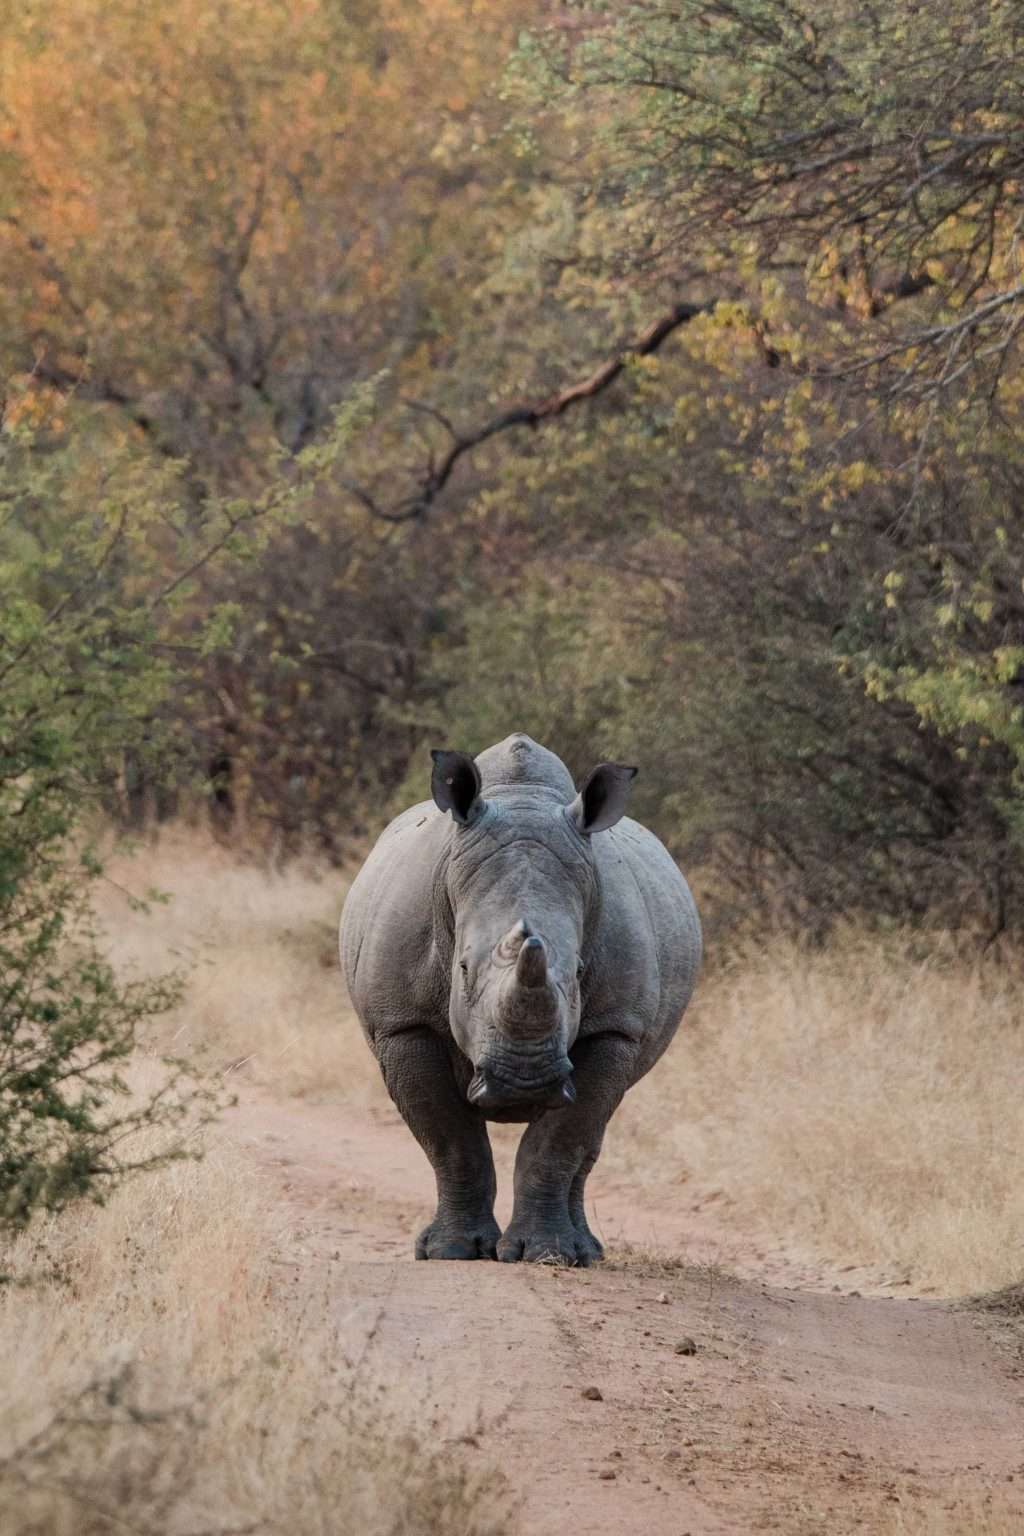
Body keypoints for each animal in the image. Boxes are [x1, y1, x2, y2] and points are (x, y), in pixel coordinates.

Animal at [339, 734, 701, 1265]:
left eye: (578, 973)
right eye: (462, 969)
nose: (523, 1084)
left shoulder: (616, 1028)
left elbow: (561, 1138)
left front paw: (545, 1253)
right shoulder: (401, 1023)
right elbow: (449, 1136)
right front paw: (452, 1251)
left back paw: (586, 1252)